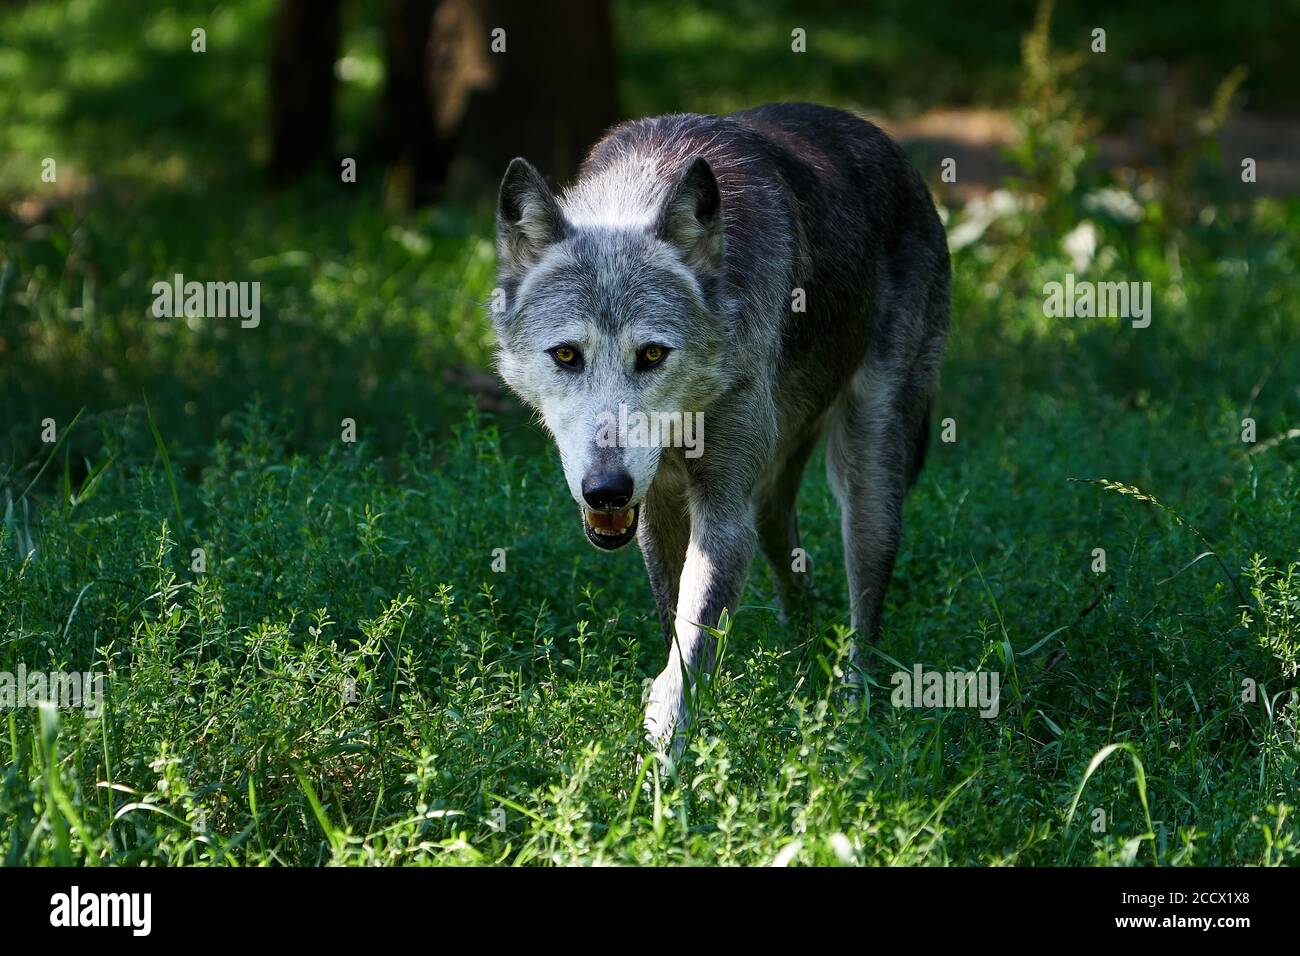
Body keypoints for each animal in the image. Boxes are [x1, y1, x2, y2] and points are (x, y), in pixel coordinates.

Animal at [491, 103, 950, 752]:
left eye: (652, 355)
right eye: (566, 355)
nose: (606, 491)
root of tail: (887, 144)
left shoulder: (722, 513)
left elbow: (692, 646)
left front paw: (661, 765)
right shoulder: (657, 506)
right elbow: (674, 626)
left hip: (867, 472)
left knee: (866, 615)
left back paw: (849, 718)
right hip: (773, 480)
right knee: (791, 556)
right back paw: (798, 668)